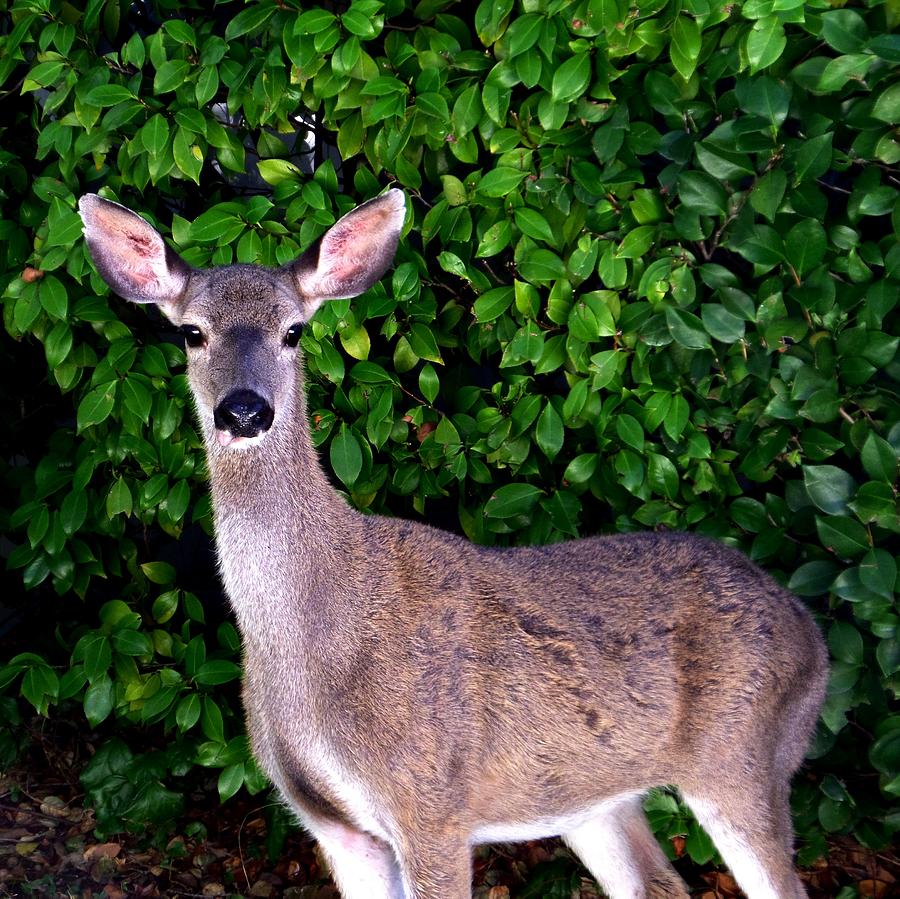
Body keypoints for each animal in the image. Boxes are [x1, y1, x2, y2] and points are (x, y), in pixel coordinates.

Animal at [78, 189, 828, 899]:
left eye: (293, 330)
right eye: (191, 332)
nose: (243, 410)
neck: (312, 639)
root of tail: (813, 635)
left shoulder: (433, 798)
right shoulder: (334, 824)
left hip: (742, 757)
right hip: (591, 798)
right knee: (657, 881)